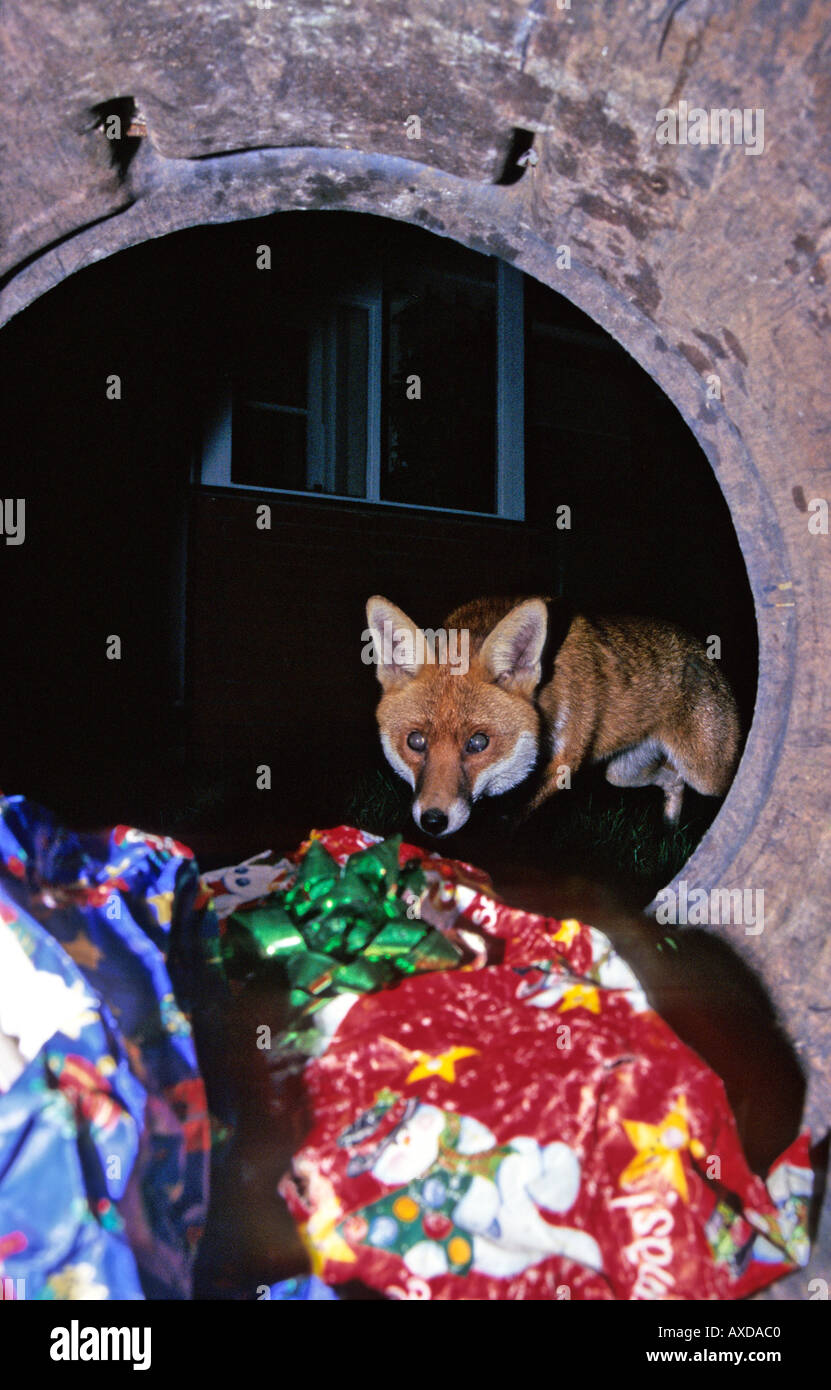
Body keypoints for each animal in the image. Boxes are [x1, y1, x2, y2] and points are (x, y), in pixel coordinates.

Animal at [365, 594, 741, 838]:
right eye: (416, 741)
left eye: (478, 742)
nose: (433, 821)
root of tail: (702, 649)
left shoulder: (563, 762)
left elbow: (509, 825)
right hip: (623, 773)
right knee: (673, 781)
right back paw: (670, 830)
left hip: (708, 776)